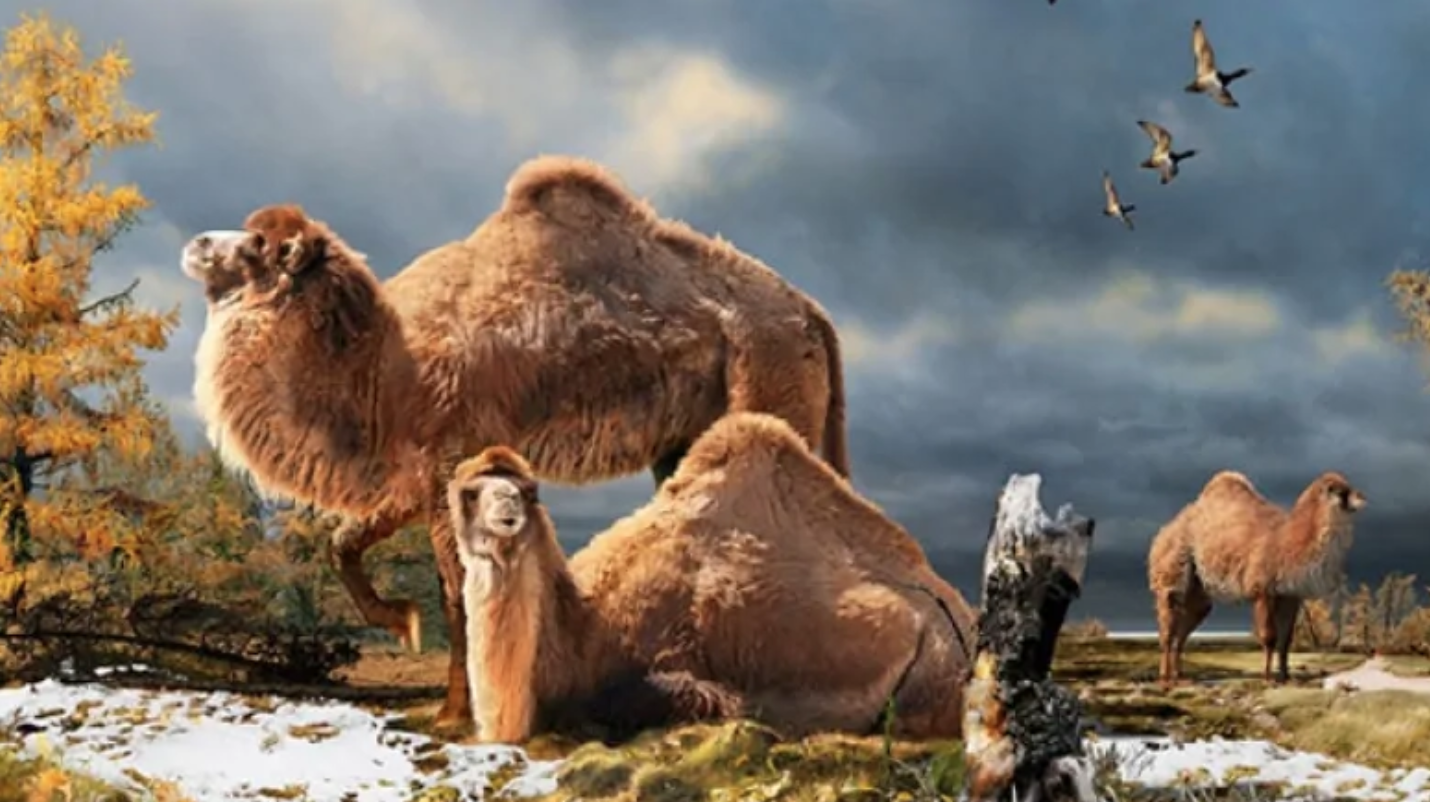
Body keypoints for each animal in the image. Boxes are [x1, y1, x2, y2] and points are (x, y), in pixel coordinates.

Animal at [177, 155, 850, 730]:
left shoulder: (451, 450)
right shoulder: (421, 473)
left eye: (258, 246)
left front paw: (457, 716)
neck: (384, 370)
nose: (197, 243)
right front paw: (404, 624)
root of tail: (813, 315)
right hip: (685, 440)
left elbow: (456, 592)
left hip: (769, 383)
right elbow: (346, 545)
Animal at [451, 411, 977, 744]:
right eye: (470, 492)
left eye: (529, 491)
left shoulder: (669, 660)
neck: (583, 625)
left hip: (936, 677)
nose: (508, 511)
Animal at [1147, 470, 1366, 686]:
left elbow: (1286, 641)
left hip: (1198, 591)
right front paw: (1268, 678)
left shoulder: (1290, 596)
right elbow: (1269, 637)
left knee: (1183, 631)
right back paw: (1165, 679)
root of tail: (1164, 531)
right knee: (1167, 630)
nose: (1362, 497)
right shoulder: (1262, 590)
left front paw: (1285, 677)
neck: (1287, 543)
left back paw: (1180, 677)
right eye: (1339, 490)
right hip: (1170, 574)